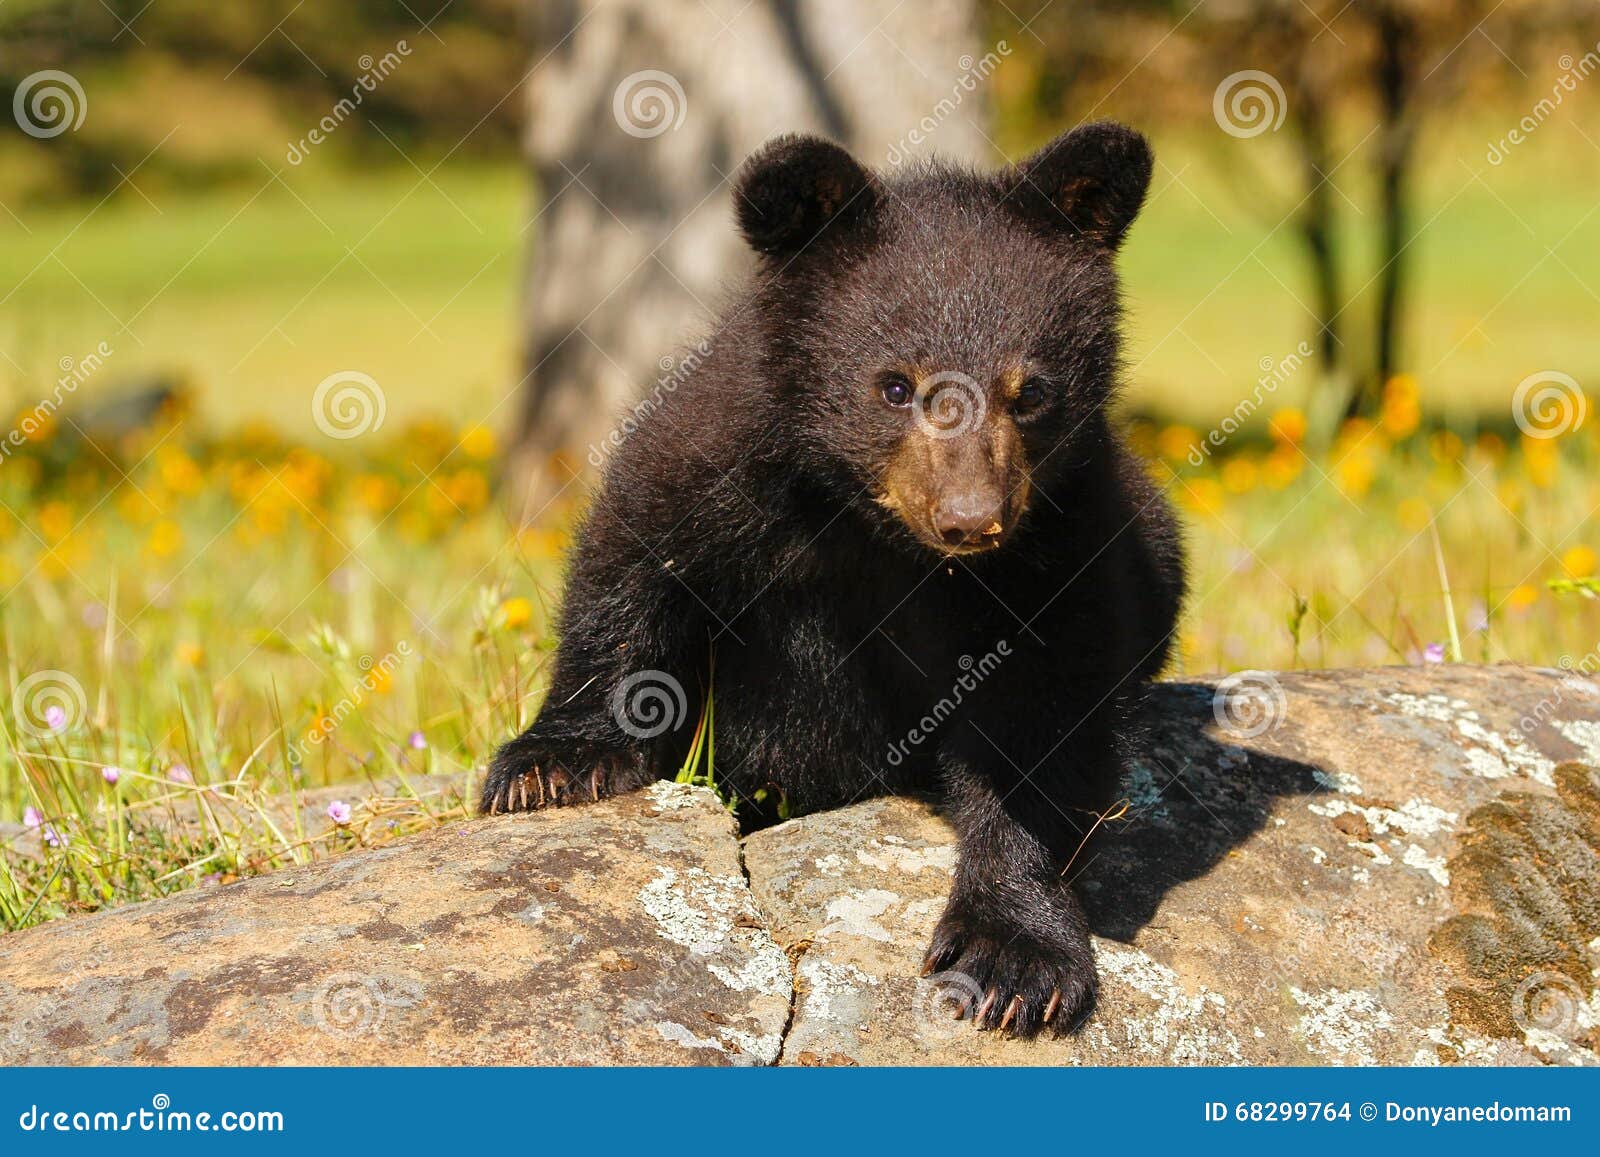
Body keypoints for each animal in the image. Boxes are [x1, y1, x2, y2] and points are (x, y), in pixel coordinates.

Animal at [481, 121, 1186, 1038]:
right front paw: (550, 764)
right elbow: (634, 565)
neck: (873, 529)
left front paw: (1010, 958)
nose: (972, 520)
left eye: (1029, 392)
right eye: (894, 385)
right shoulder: (719, 459)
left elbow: (1049, 716)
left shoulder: (1069, 534)